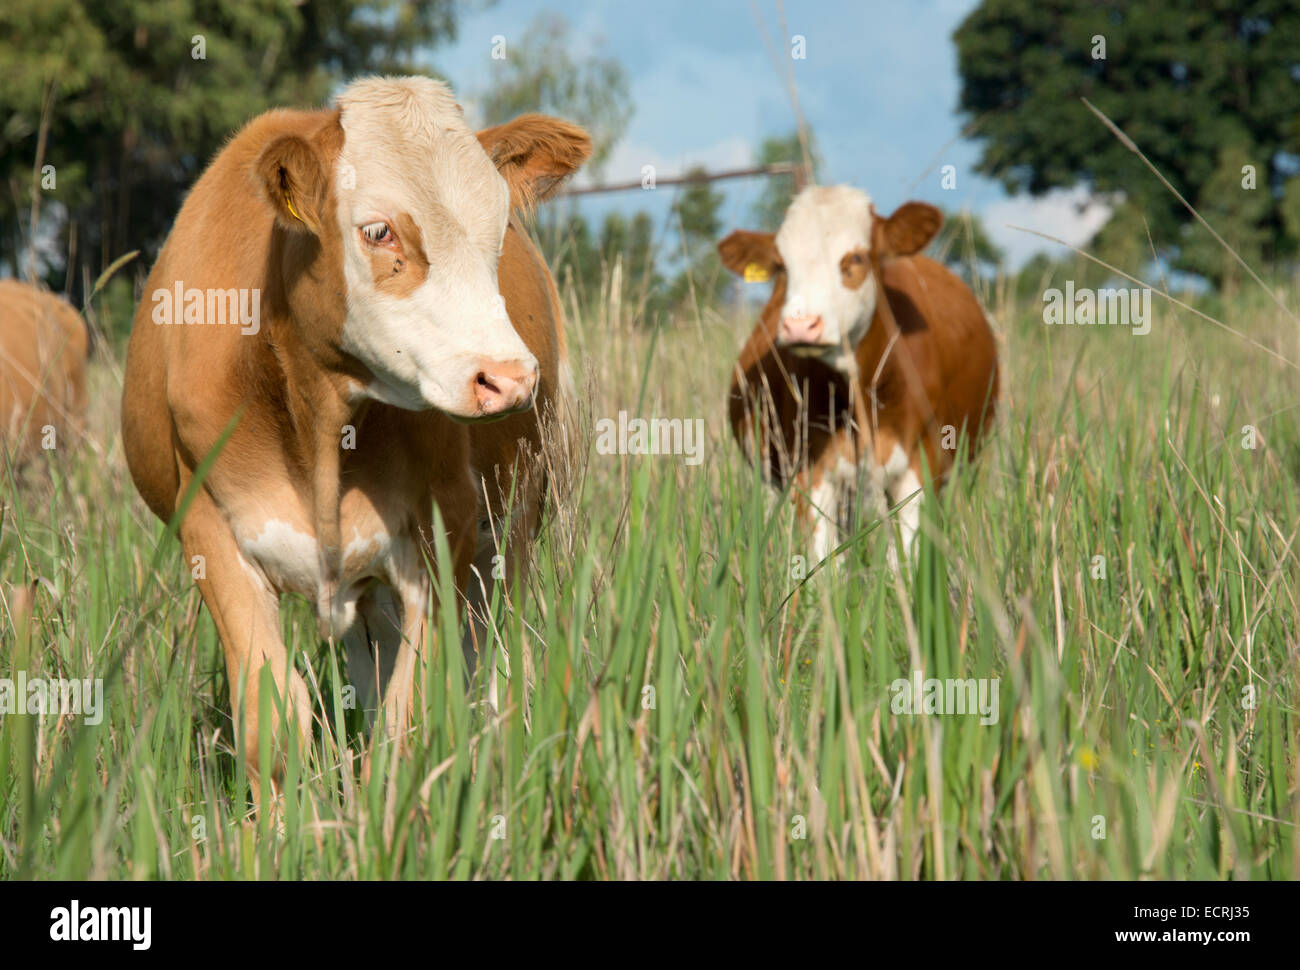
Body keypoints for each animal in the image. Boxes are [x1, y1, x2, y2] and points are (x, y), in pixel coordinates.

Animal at [120, 76, 590, 778]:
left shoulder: (448, 525)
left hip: (517, 521)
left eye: (497, 226)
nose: (509, 378)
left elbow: (410, 721)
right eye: (379, 230)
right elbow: (271, 725)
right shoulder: (210, 529)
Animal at [718, 185, 998, 565]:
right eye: (782, 266)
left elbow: (903, 560)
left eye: (855, 259)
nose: (800, 325)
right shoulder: (812, 473)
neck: (860, 392)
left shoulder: (920, 467)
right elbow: (825, 563)